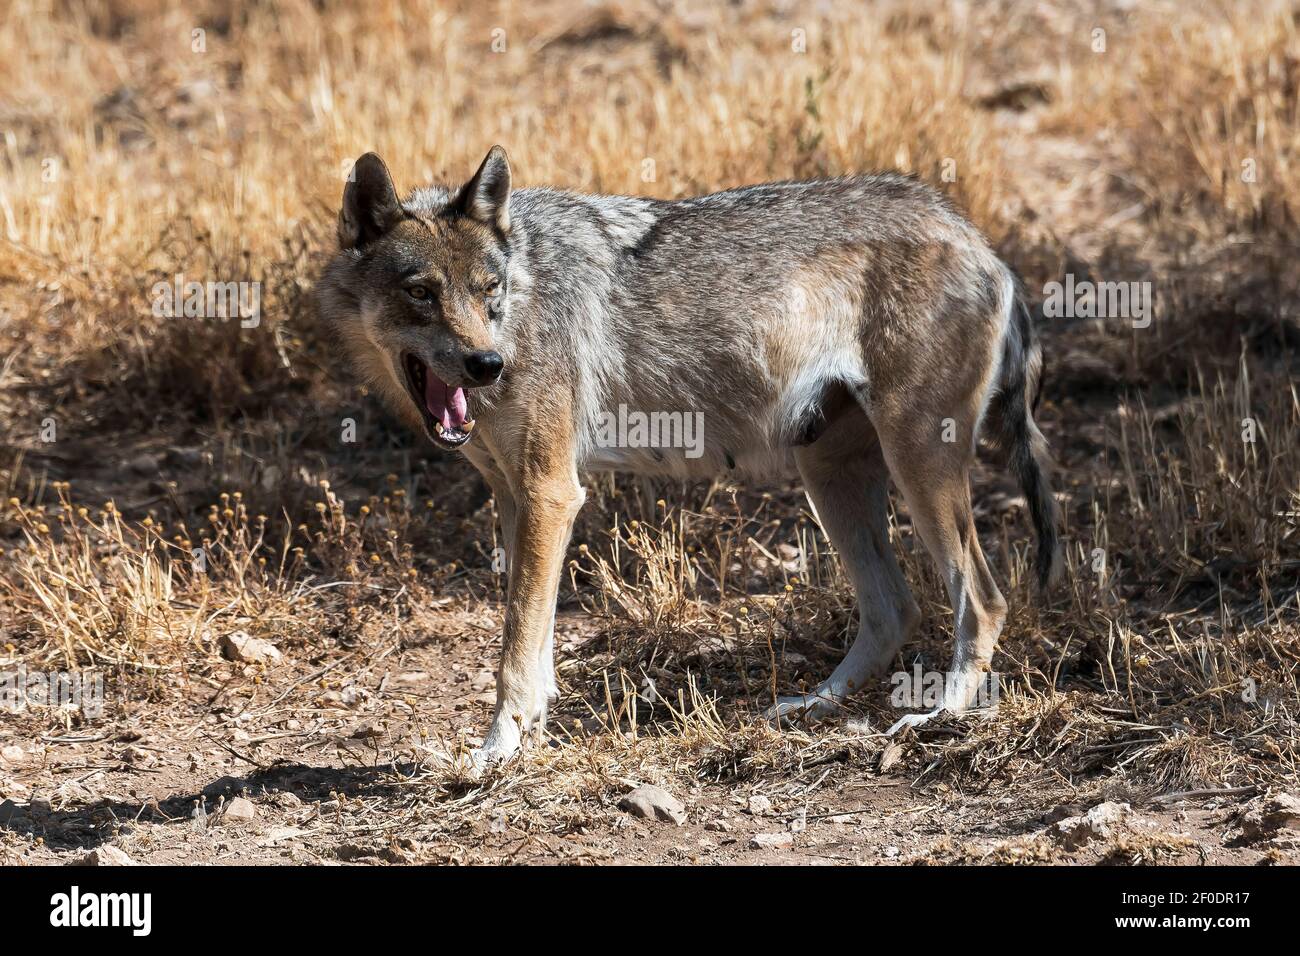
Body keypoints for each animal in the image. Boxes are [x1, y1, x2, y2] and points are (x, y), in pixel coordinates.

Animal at [317, 147, 1060, 768]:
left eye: (486, 289)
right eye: (421, 292)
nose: (486, 364)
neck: (524, 297)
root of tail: (981, 242)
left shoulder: (551, 493)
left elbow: (514, 647)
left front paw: (497, 748)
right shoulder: (518, 498)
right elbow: (536, 636)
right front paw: (534, 731)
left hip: (916, 465)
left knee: (983, 599)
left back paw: (942, 716)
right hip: (829, 476)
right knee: (894, 609)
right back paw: (813, 705)